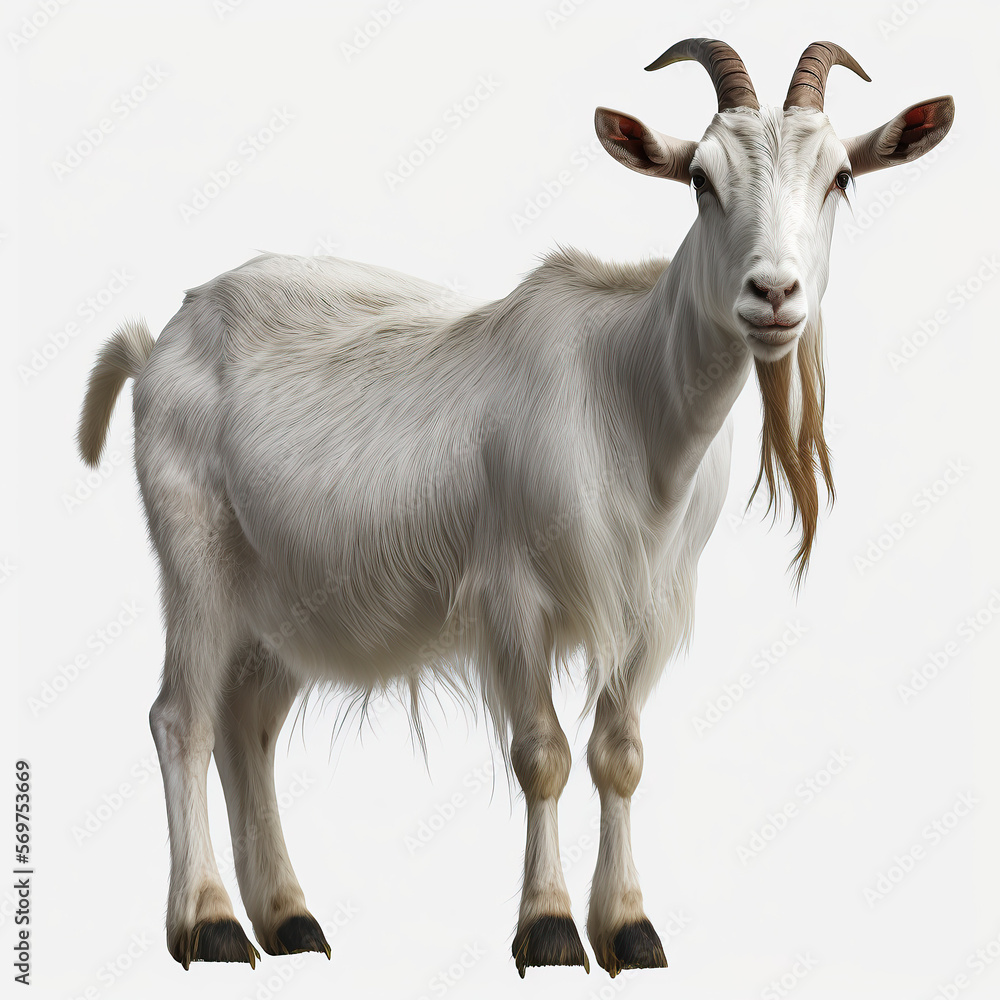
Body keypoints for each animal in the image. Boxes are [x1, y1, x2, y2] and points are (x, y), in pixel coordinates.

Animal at [77, 39, 953, 978]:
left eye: (840, 178)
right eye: (700, 180)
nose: (774, 293)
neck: (627, 402)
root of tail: (161, 342)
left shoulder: (652, 604)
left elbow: (620, 756)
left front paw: (631, 928)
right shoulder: (512, 594)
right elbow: (544, 755)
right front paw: (551, 926)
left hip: (286, 600)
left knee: (251, 729)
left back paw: (289, 919)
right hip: (195, 555)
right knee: (183, 719)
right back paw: (208, 923)